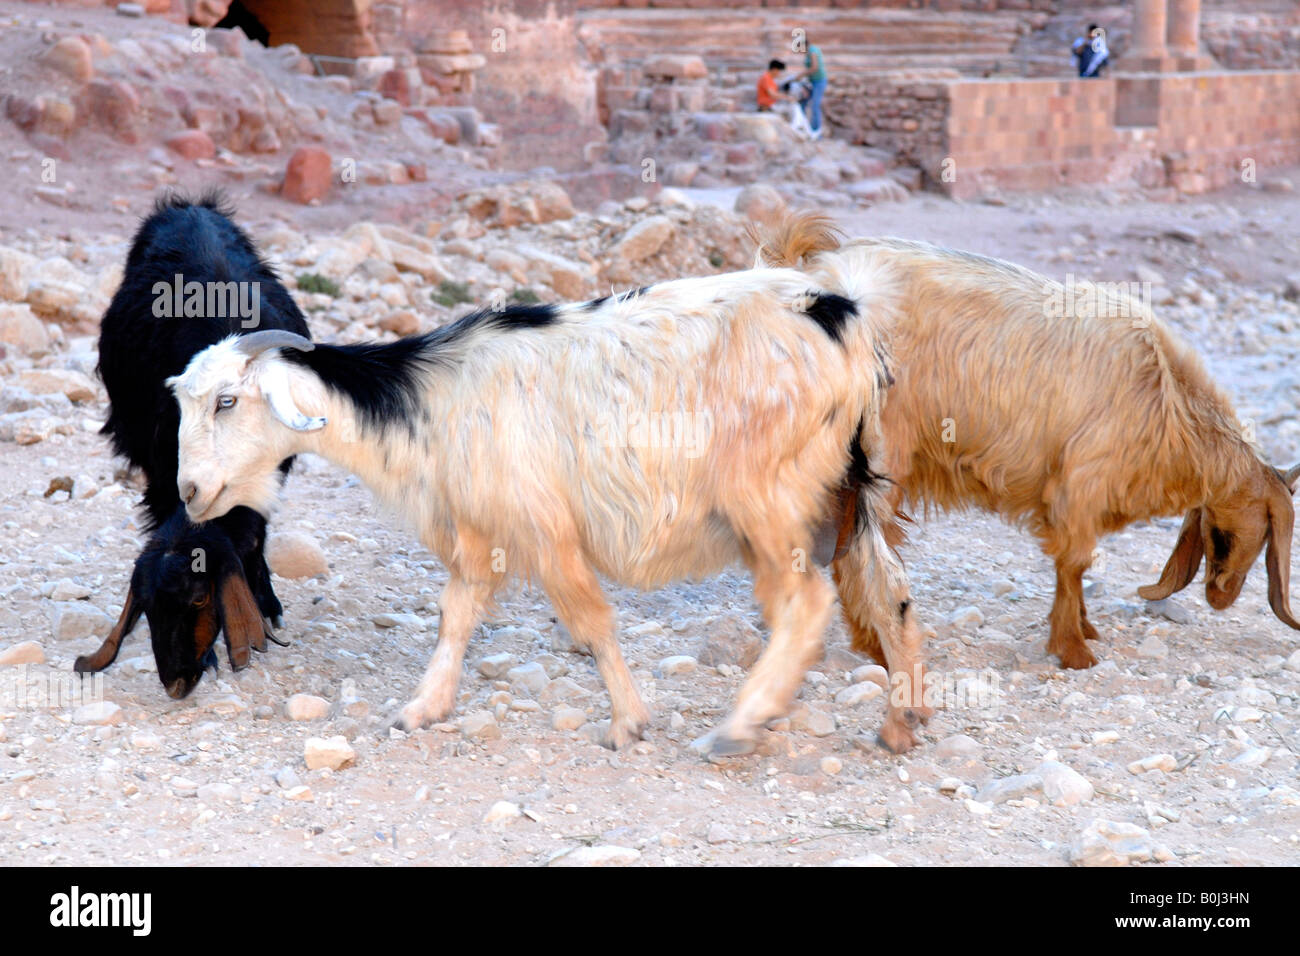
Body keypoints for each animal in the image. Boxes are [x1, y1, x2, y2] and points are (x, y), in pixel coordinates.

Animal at [77, 194, 308, 698]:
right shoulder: (164, 468)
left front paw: (266, 603)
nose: (176, 682)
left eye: (201, 599)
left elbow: (255, 536)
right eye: (146, 608)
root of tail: (190, 207)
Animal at [166, 271, 933, 755]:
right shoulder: (481, 530)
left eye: (227, 402)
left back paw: (737, 728)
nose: (191, 492)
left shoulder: (545, 526)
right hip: (852, 491)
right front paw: (423, 707)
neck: (429, 402)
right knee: (889, 595)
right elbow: (457, 616)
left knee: (804, 603)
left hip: (767, 498)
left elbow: (591, 622)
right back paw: (902, 721)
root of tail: (842, 320)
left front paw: (627, 723)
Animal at [756, 213, 1300, 671]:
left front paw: (1085, 630)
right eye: (1250, 528)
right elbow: (1074, 562)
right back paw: (880, 648)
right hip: (880, 453)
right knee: (861, 551)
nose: (1221, 595)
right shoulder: (1079, 486)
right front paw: (1074, 651)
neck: (1166, 398)